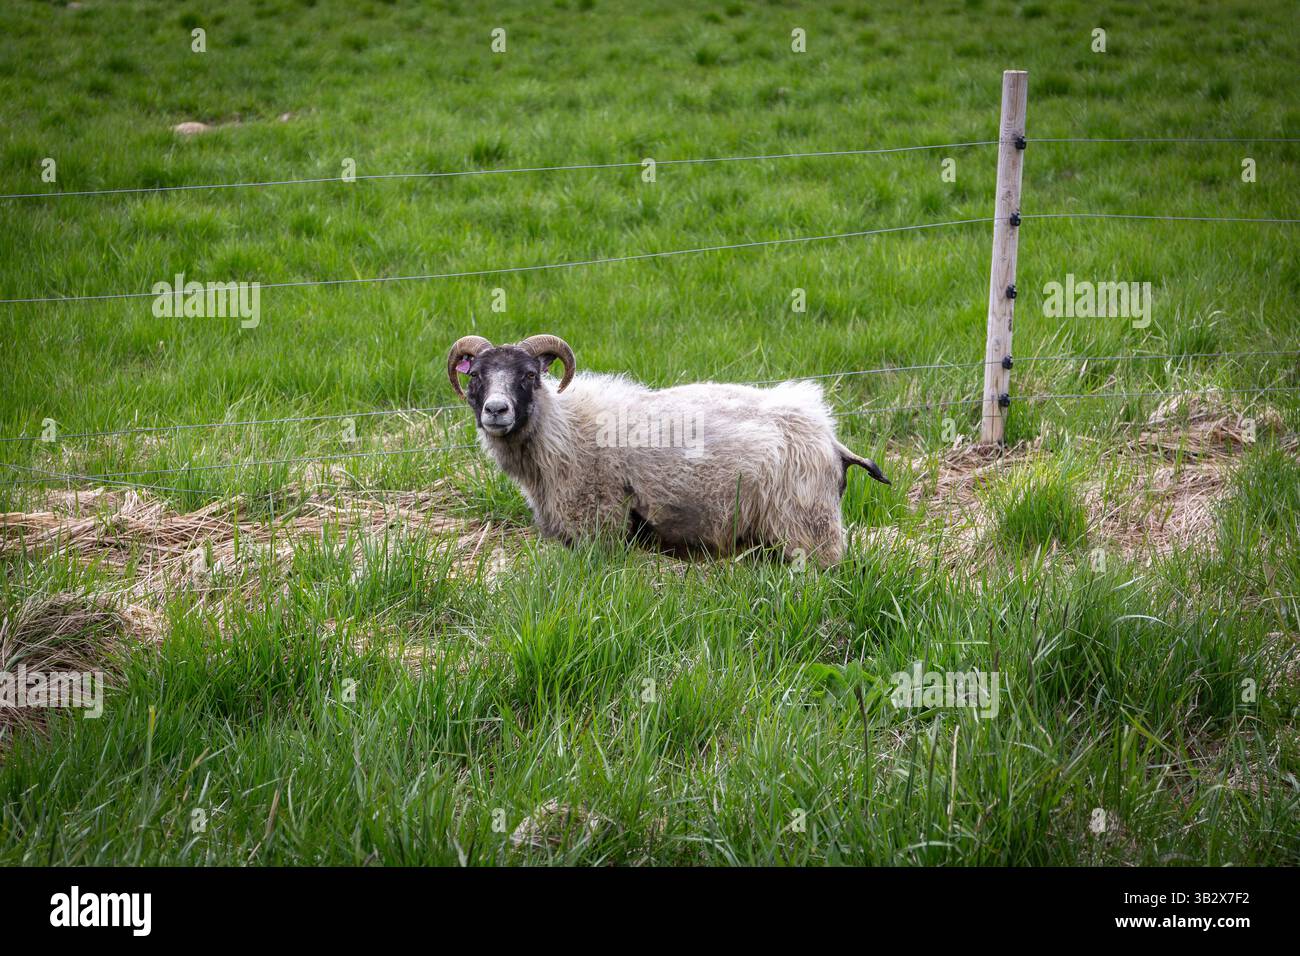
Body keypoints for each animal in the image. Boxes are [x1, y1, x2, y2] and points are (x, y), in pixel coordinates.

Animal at [447, 334, 889, 566]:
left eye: (529, 375)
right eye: (477, 377)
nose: (496, 410)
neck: (562, 429)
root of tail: (828, 435)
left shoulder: (598, 527)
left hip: (807, 527)